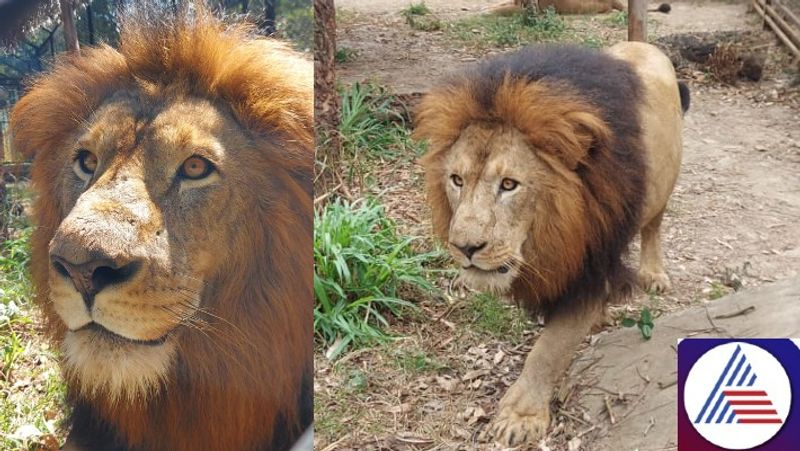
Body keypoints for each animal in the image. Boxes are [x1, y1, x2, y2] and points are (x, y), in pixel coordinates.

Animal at [414, 42, 688, 446]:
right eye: (457, 180)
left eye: (509, 184)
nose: (465, 248)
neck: (555, 232)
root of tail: (644, 45)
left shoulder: (592, 268)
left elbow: (549, 350)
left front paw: (520, 415)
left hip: (663, 186)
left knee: (653, 224)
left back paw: (653, 273)